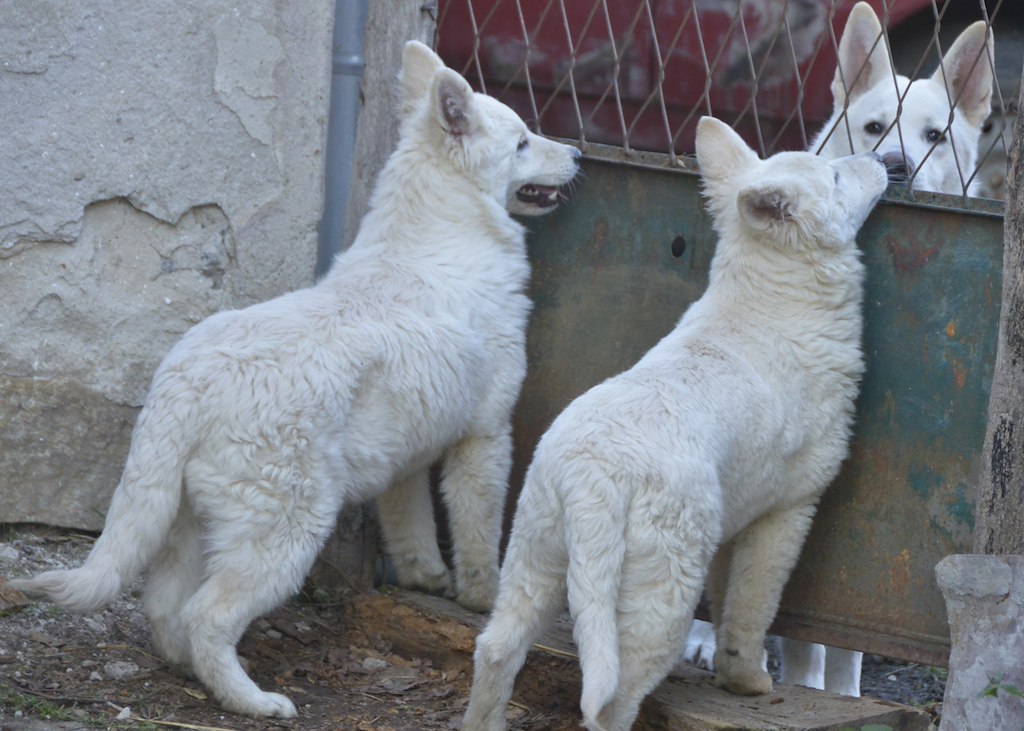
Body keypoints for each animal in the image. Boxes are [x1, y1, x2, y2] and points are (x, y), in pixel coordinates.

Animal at [8, 41, 581, 716]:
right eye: (522, 142)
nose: (577, 155)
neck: (439, 231)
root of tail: (187, 383)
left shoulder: (408, 453)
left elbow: (410, 525)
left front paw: (425, 577)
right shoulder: (486, 434)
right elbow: (479, 532)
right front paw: (478, 594)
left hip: (187, 519)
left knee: (166, 607)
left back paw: (196, 673)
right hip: (289, 529)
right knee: (206, 616)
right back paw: (253, 702)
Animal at [464, 115, 888, 728]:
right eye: (833, 175)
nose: (883, 161)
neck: (775, 298)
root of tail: (591, 479)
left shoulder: (738, 509)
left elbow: (730, 600)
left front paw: (736, 678)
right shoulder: (788, 509)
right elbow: (753, 607)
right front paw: (751, 683)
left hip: (536, 551)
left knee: (496, 648)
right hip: (660, 590)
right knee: (610, 700)